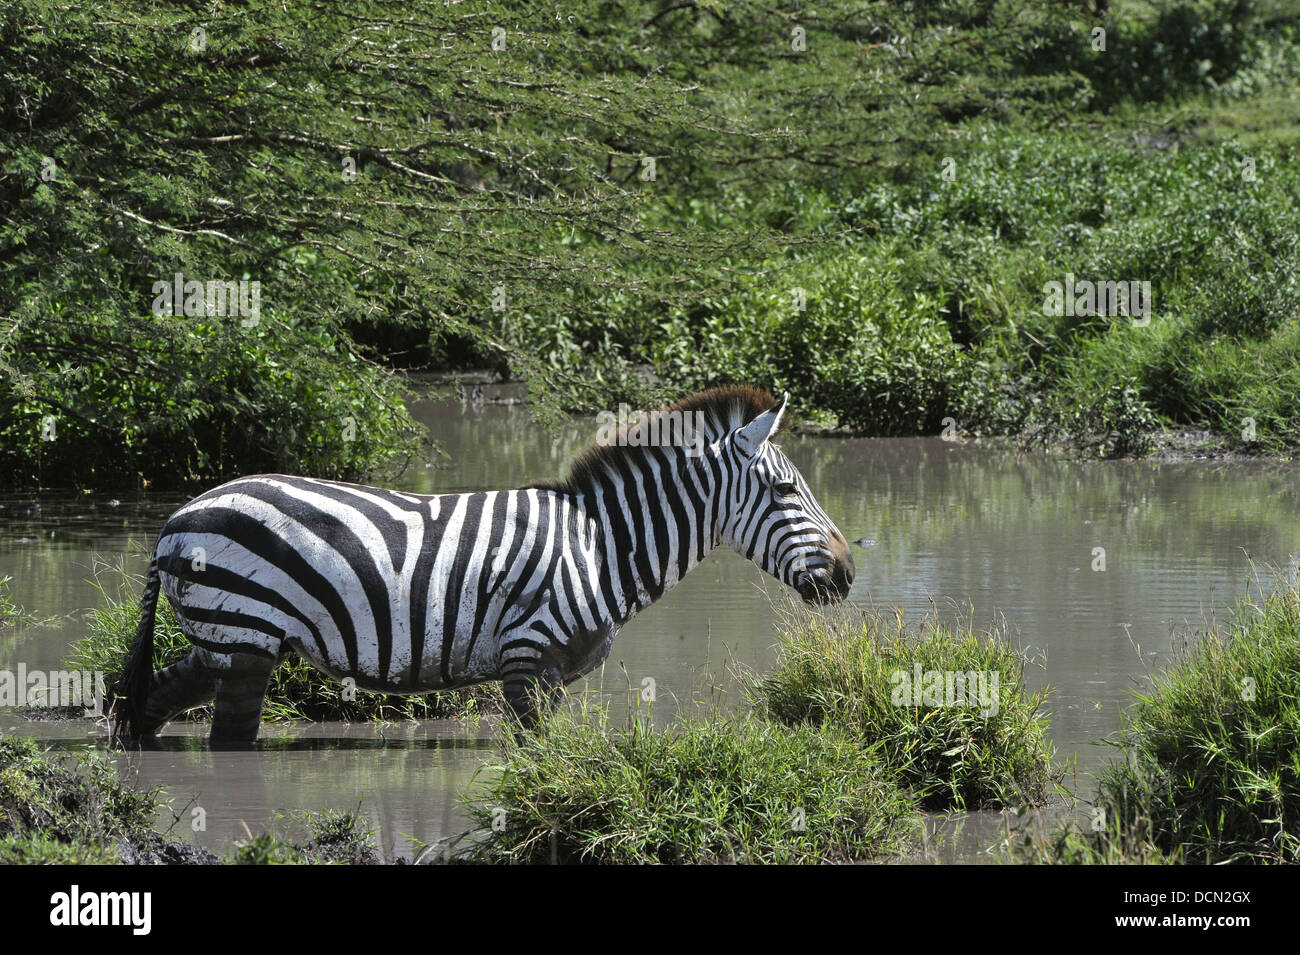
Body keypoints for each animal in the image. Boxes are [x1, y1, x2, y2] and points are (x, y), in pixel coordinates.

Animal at [111, 386, 854, 743]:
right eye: (786, 492)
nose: (848, 575)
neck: (599, 543)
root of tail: (175, 520)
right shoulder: (530, 662)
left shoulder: (546, 674)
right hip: (247, 638)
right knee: (226, 742)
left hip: (222, 640)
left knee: (147, 703)